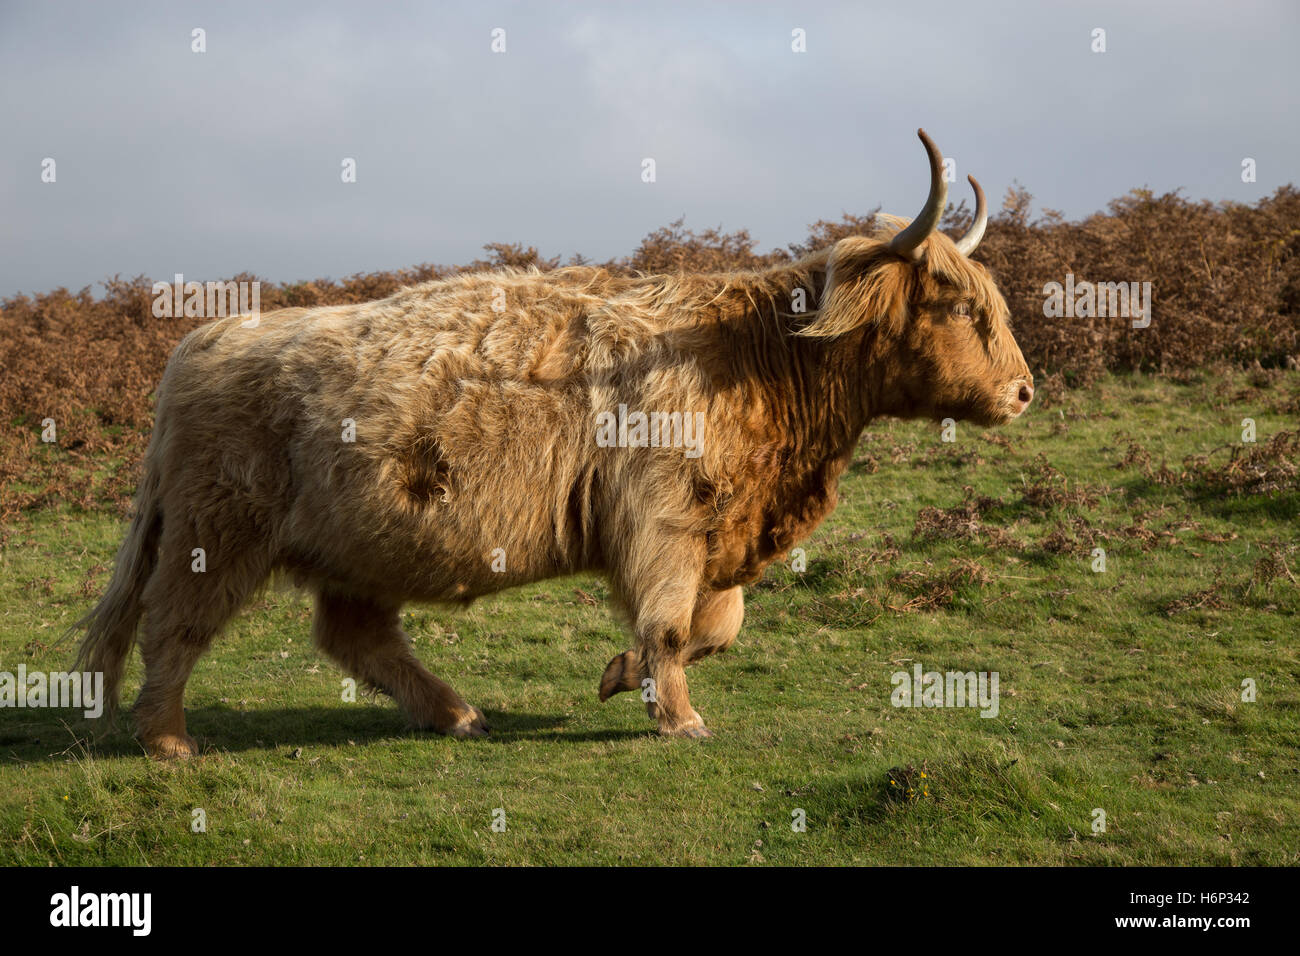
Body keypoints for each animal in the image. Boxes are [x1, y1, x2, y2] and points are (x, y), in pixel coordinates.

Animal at [74, 129, 1033, 757]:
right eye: (957, 303)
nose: (1024, 390)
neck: (754, 359)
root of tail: (205, 339)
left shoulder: (710, 531)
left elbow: (716, 625)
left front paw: (619, 674)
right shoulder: (661, 523)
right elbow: (675, 624)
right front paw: (677, 717)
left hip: (355, 544)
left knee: (355, 636)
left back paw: (455, 713)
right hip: (213, 535)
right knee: (173, 627)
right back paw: (168, 741)